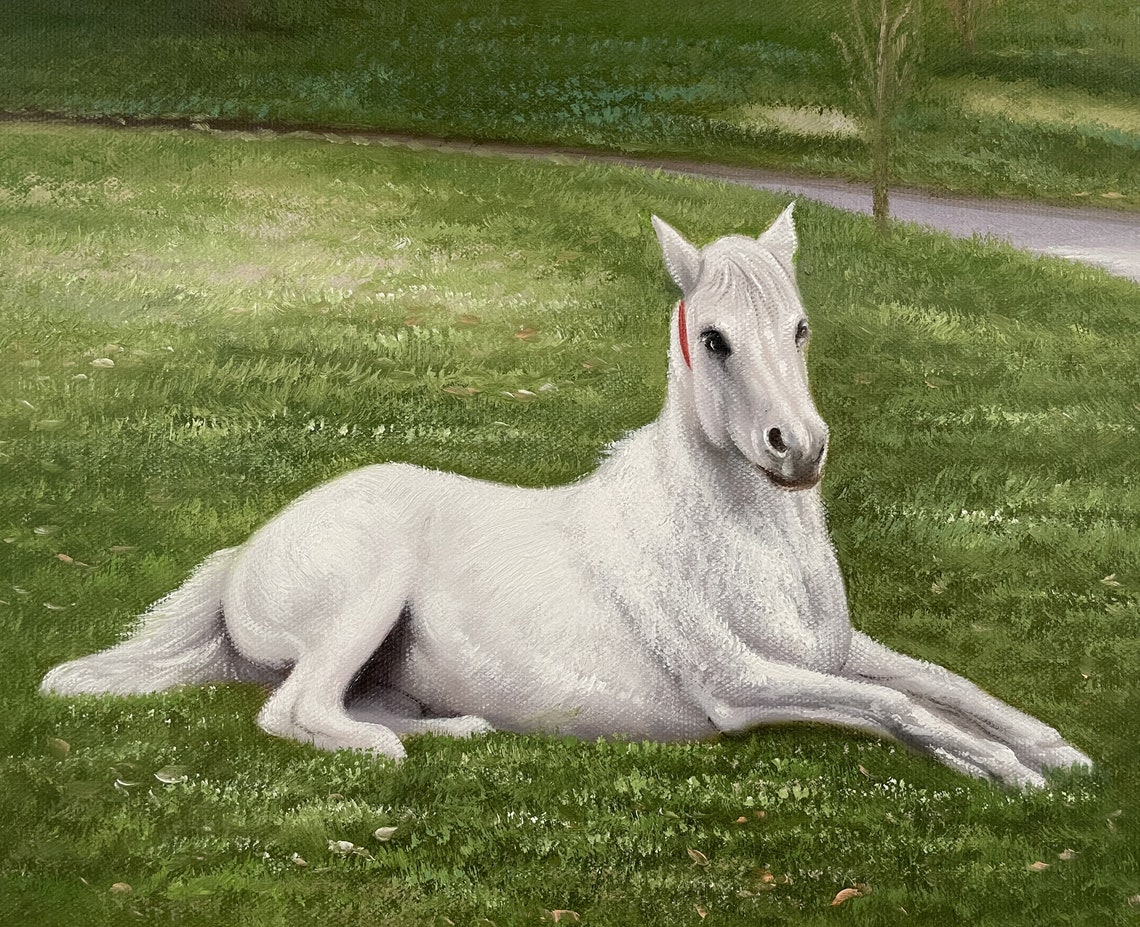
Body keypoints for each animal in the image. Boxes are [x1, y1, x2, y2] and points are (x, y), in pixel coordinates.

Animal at [41, 204, 1091, 787]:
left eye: (800, 328)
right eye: (714, 339)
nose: (799, 452)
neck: (740, 543)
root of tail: (244, 557)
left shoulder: (830, 651)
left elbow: (939, 684)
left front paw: (1055, 751)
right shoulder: (745, 685)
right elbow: (896, 705)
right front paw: (1003, 768)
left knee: (342, 700)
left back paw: (455, 726)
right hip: (362, 596)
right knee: (293, 709)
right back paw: (389, 752)